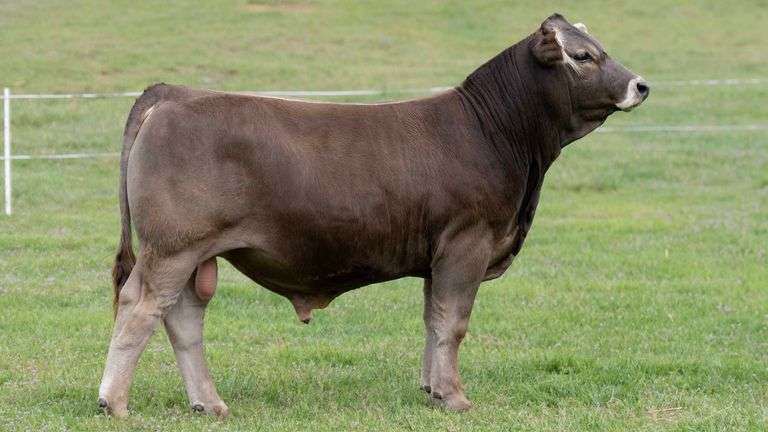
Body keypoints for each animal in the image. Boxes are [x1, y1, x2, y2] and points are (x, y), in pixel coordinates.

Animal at [98, 13, 649, 417]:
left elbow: (432, 319)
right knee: (140, 307)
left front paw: (432, 389)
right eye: (583, 55)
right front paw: (455, 397)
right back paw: (115, 403)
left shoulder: (437, 257)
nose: (641, 85)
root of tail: (174, 93)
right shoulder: (466, 243)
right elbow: (453, 323)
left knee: (184, 318)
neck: (493, 134)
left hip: (195, 254)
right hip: (173, 246)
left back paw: (208, 403)